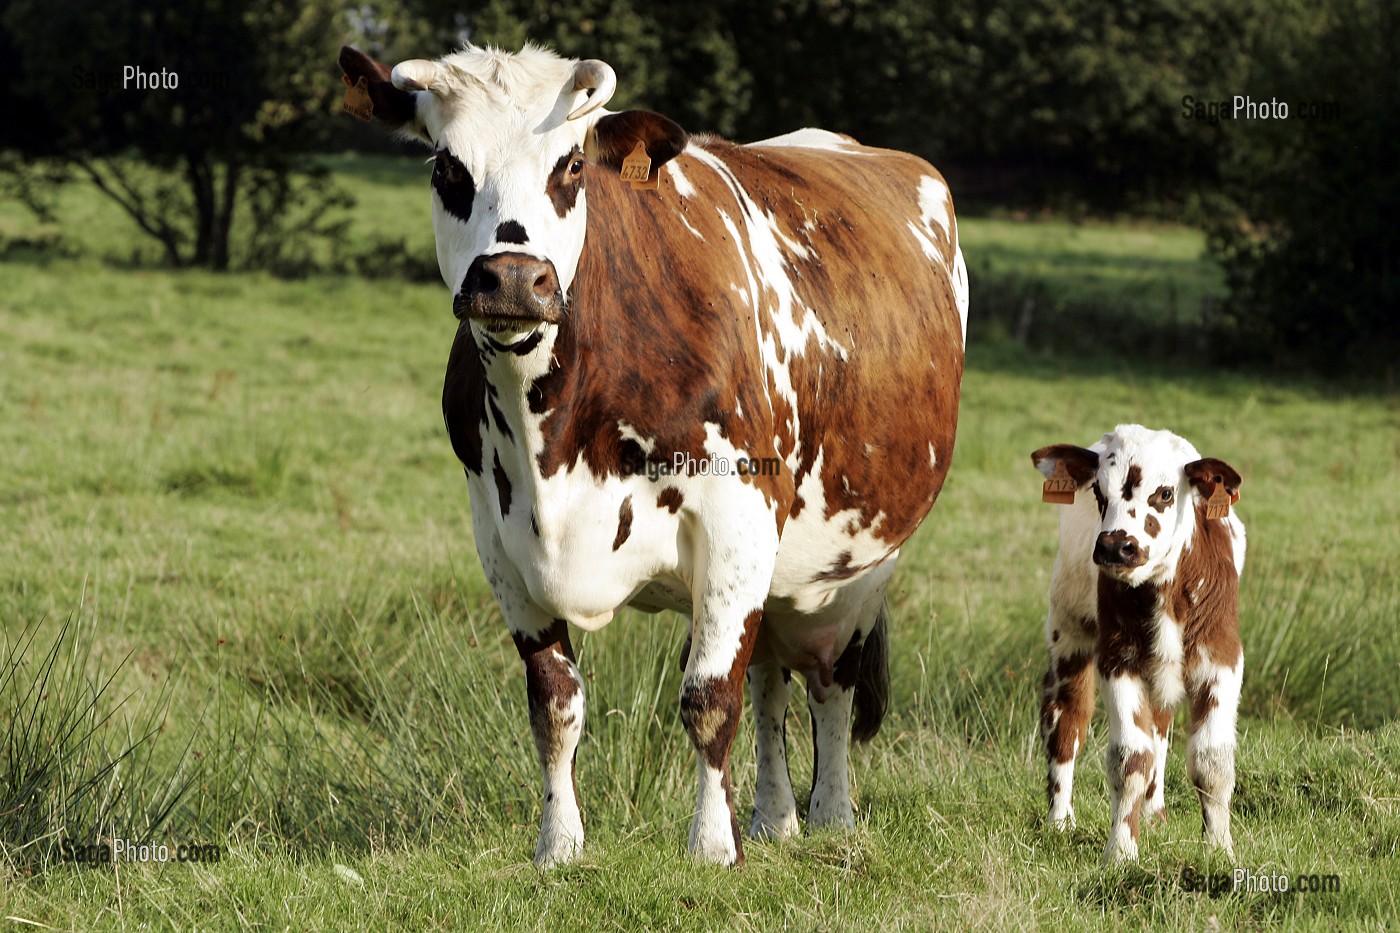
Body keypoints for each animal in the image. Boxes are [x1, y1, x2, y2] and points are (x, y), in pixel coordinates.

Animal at [343, 39, 968, 862]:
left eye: (573, 164)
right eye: (447, 166)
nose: (511, 278)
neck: (554, 438)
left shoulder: (739, 515)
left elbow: (709, 697)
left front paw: (711, 846)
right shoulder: (498, 536)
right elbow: (555, 702)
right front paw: (559, 845)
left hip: (855, 566)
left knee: (828, 679)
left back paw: (830, 812)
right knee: (770, 681)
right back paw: (773, 815)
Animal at [1030, 425, 1248, 862]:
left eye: (1165, 493)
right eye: (1099, 492)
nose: (1115, 547)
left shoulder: (1222, 657)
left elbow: (1211, 761)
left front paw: (1219, 849)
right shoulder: (1118, 657)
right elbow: (1130, 758)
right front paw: (1120, 852)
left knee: (1161, 726)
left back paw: (1153, 812)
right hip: (1069, 628)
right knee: (1066, 718)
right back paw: (1060, 821)